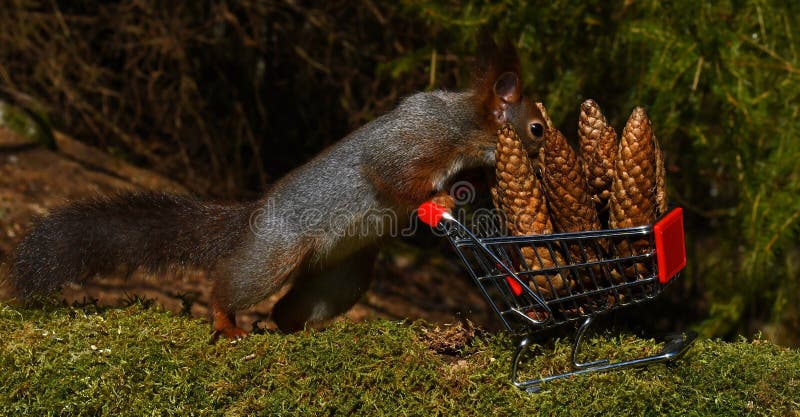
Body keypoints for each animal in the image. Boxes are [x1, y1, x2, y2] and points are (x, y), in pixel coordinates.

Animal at [7, 35, 547, 339]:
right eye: (537, 128)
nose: (547, 152)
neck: (467, 125)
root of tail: (252, 218)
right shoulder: (419, 136)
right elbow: (392, 172)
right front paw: (434, 200)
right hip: (277, 252)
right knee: (233, 285)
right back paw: (227, 323)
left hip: (341, 278)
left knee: (291, 309)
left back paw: (297, 334)